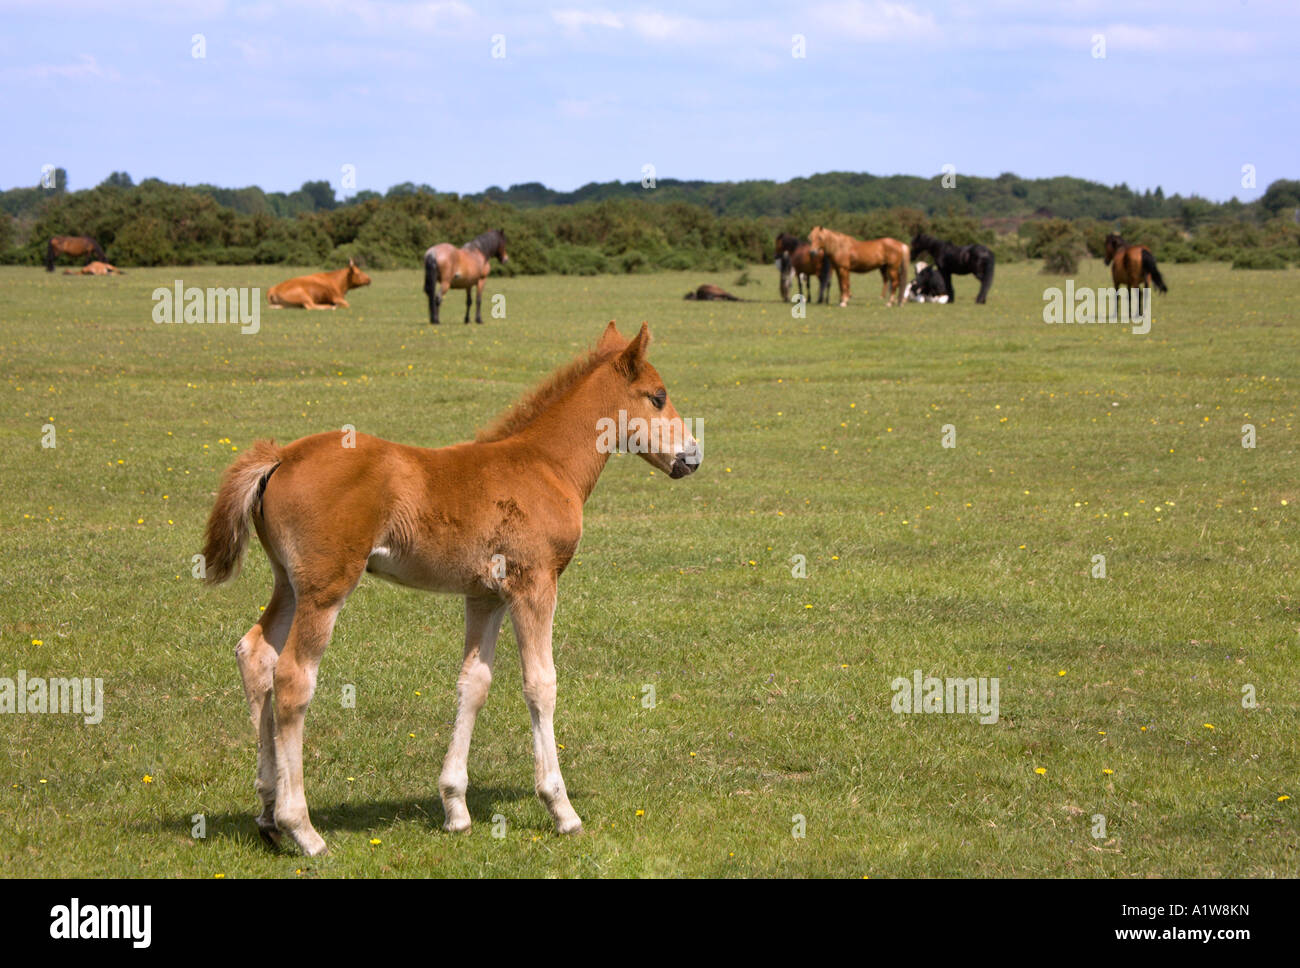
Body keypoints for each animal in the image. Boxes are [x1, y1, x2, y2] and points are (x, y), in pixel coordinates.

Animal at [201, 321, 701, 856]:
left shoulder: (485, 596)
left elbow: (473, 683)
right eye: (658, 396)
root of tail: (280, 456)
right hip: (325, 587)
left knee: (256, 655)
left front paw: (456, 808)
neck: (546, 464)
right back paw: (302, 828)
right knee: (293, 677)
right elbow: (541, 685)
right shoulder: (534, 584)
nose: (692, 456)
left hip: (288, 583)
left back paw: (267, 812)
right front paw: (561, 809)